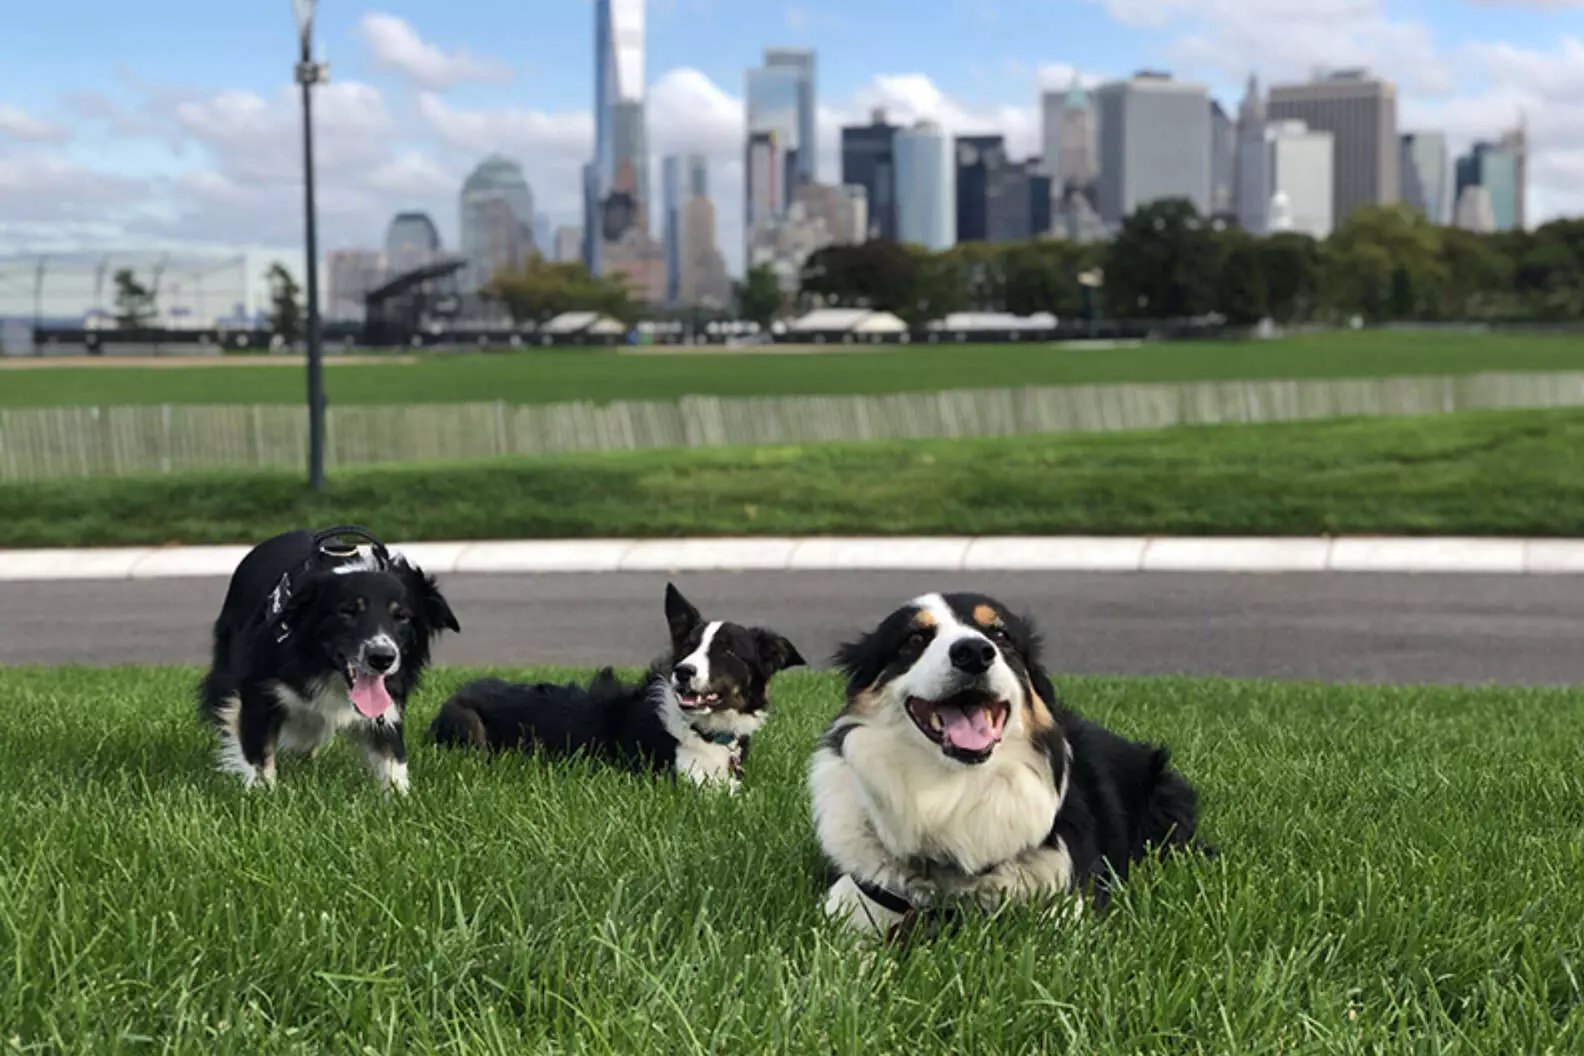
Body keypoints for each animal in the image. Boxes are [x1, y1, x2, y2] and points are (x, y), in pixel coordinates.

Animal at [196, 525, 459, 797]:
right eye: (348, 611)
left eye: (402, 616)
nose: (382, 658)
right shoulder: (258, 689)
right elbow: (260, 754)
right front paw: (264, 795)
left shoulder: (389, 704)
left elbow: (392, 757)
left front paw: (400, 798)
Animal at [811, 595, 1203, 943]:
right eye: (915, 639)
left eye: (1000, 635)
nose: (973, 652)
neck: (954, 787)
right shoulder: (861, 889)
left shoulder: (1062, 891)